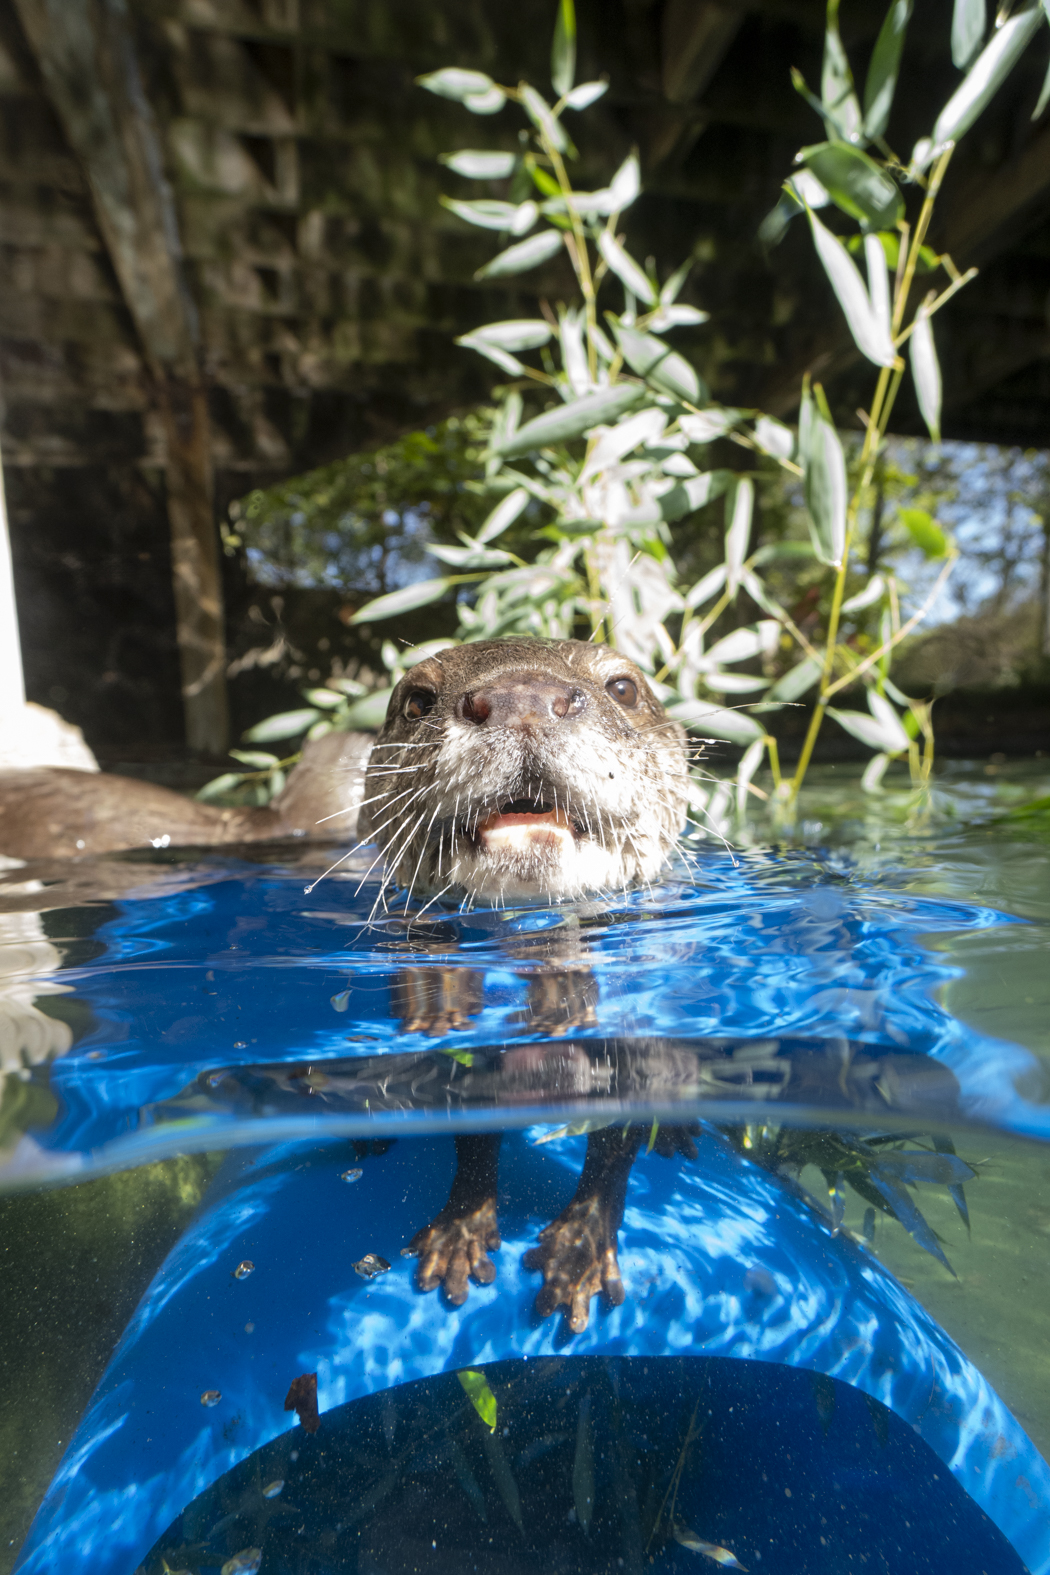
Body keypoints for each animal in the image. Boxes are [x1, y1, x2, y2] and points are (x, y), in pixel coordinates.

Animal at [360, 637, 698, 1332]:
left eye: (622, 687)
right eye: (417, 699)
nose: (522, 698)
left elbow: (614, 1148)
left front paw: (581, 1251)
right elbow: (472, 1134)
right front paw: (460, 1232)